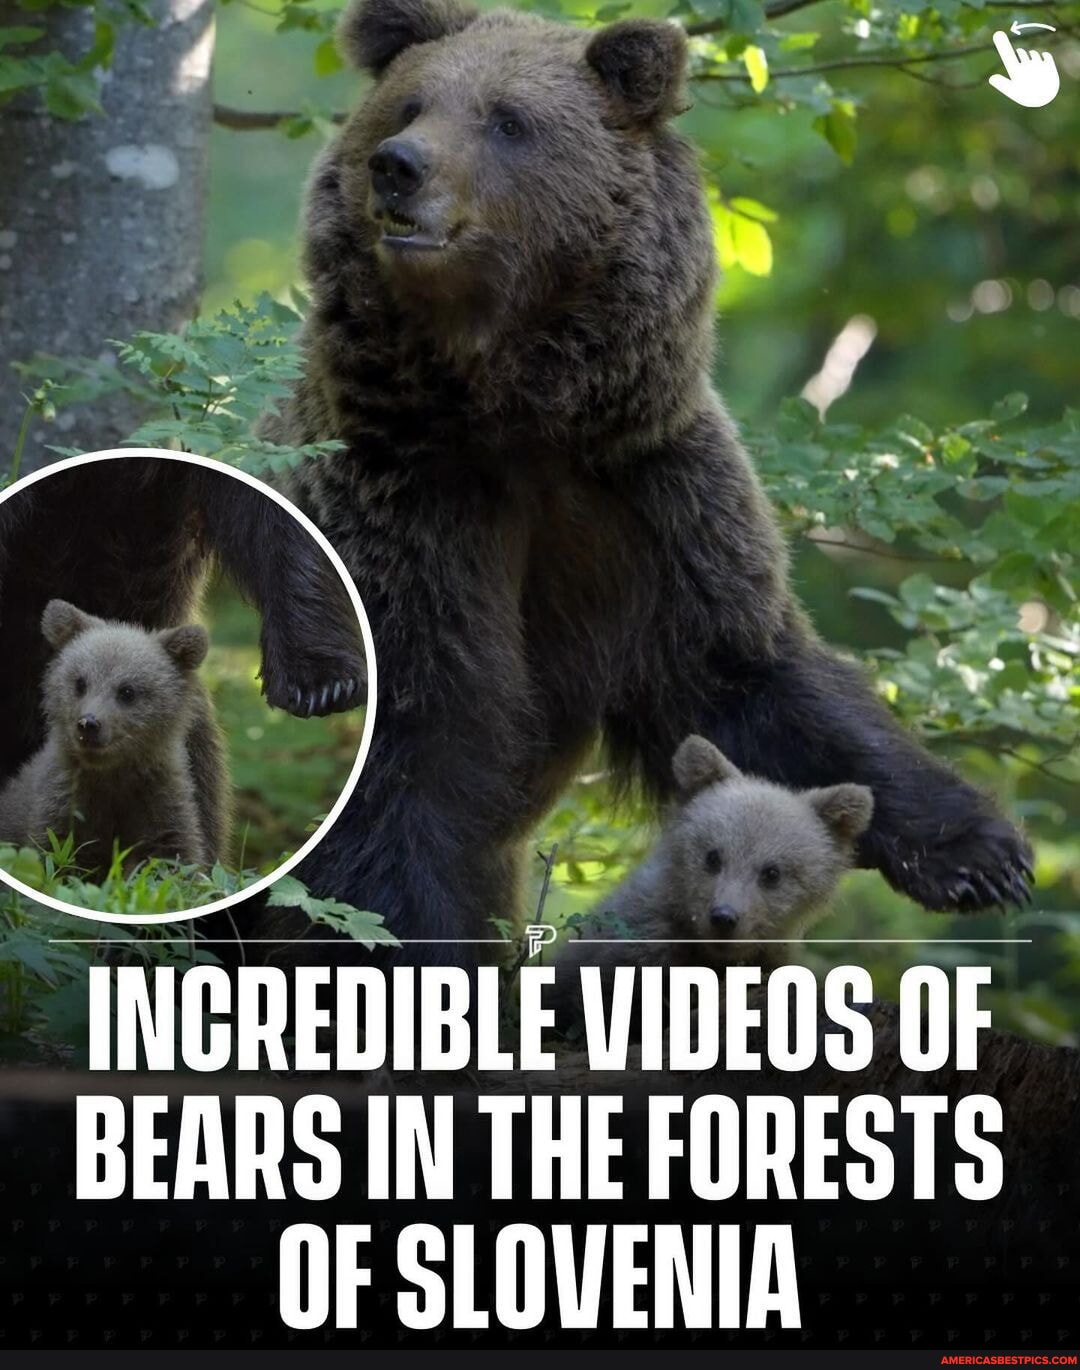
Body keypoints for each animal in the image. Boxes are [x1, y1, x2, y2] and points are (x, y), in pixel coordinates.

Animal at [0, 600, 212, 876]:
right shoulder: (62, 808)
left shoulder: (159, 804)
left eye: (127, 691)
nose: (89, 724)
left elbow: (174, 859)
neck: (111, 774)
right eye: (80, 682)